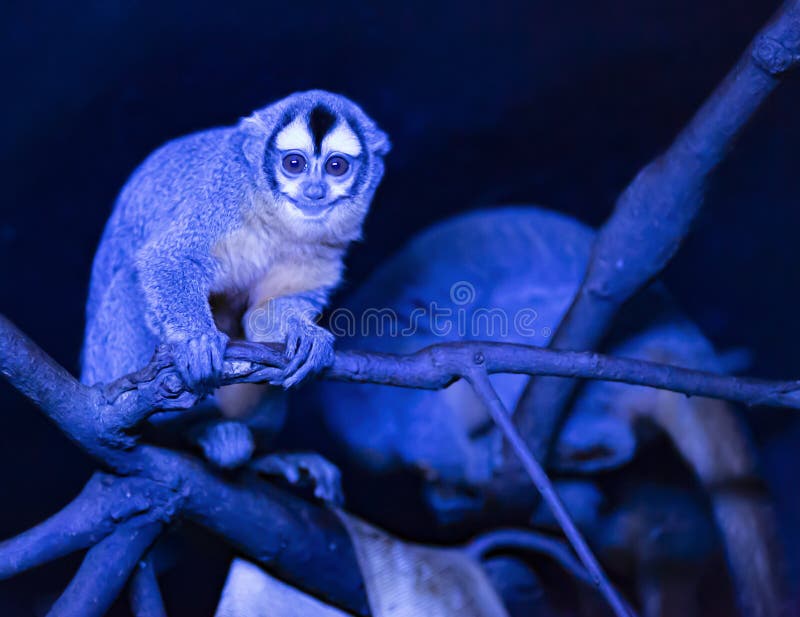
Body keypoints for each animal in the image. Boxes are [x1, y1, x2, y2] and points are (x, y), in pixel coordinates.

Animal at [81, 90, 390, 486]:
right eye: (294, 163)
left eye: (336, 167)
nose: (314, 190)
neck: (274, 214)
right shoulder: (222, 195)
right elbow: (168, 258)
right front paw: (196, 341)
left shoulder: (327, 240)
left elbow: (262, 318)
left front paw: (305, 334)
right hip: (107, 372)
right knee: (131, 281)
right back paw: (198, 429)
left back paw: (265, 456)